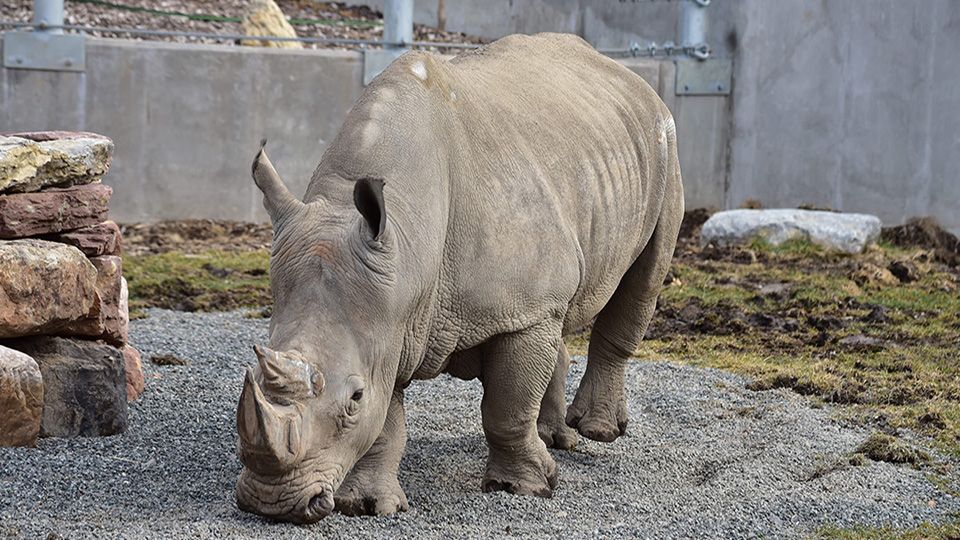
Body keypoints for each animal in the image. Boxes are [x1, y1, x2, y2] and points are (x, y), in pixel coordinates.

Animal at [235, 33, 683, 523]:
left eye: (353, 398)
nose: (271, 503)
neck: (410, 237)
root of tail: (620, 70)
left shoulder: (502, 310)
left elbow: (506, 408)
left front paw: (522, 488)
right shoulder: (391, 316)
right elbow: (386, 422)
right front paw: (369, 505)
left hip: (663, 142)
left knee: (643, 278)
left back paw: (596, 431)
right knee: (559, 315)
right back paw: (555, 438)